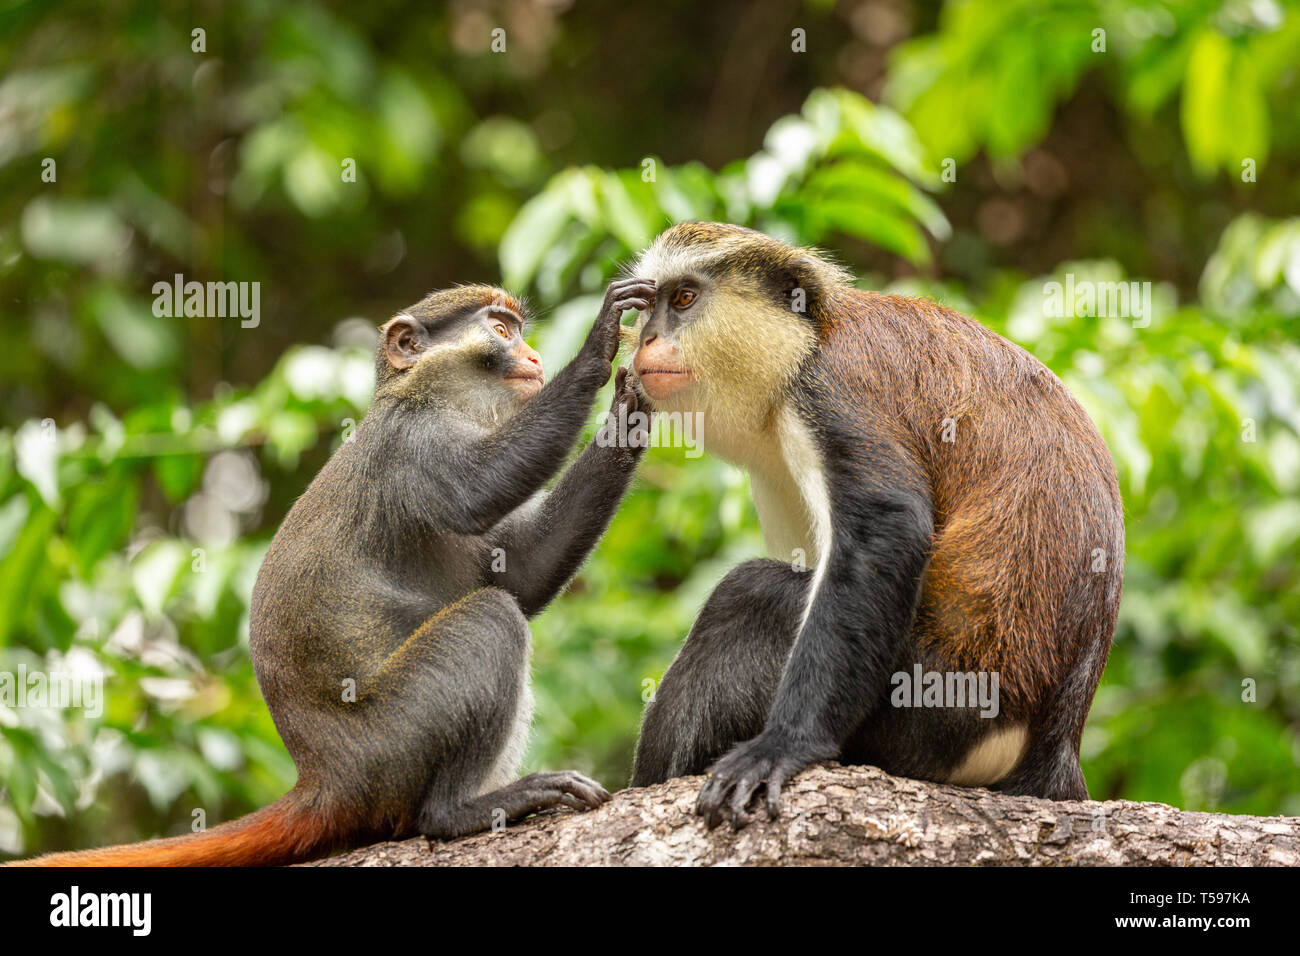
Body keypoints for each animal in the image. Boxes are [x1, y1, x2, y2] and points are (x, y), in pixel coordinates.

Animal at [14, 277, 657, 866]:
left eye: (517, 330)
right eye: (500, 330)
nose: (534, 357)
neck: (431, 397)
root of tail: (327, 779)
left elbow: (522, 571)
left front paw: (632, 411)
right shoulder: (409, 443)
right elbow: (482, 493)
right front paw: (600, 344)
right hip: (396, 735)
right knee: (491, 620)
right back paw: (458, 812)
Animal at [625, 222, 1123, 829]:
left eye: (684, 299)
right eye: (649, 307)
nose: (647, 339)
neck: (807, 342)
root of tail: (1056, 744)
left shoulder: (830, 391)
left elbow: (888, 530)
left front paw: (784, 746)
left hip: (933, 708)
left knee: (751, 594)